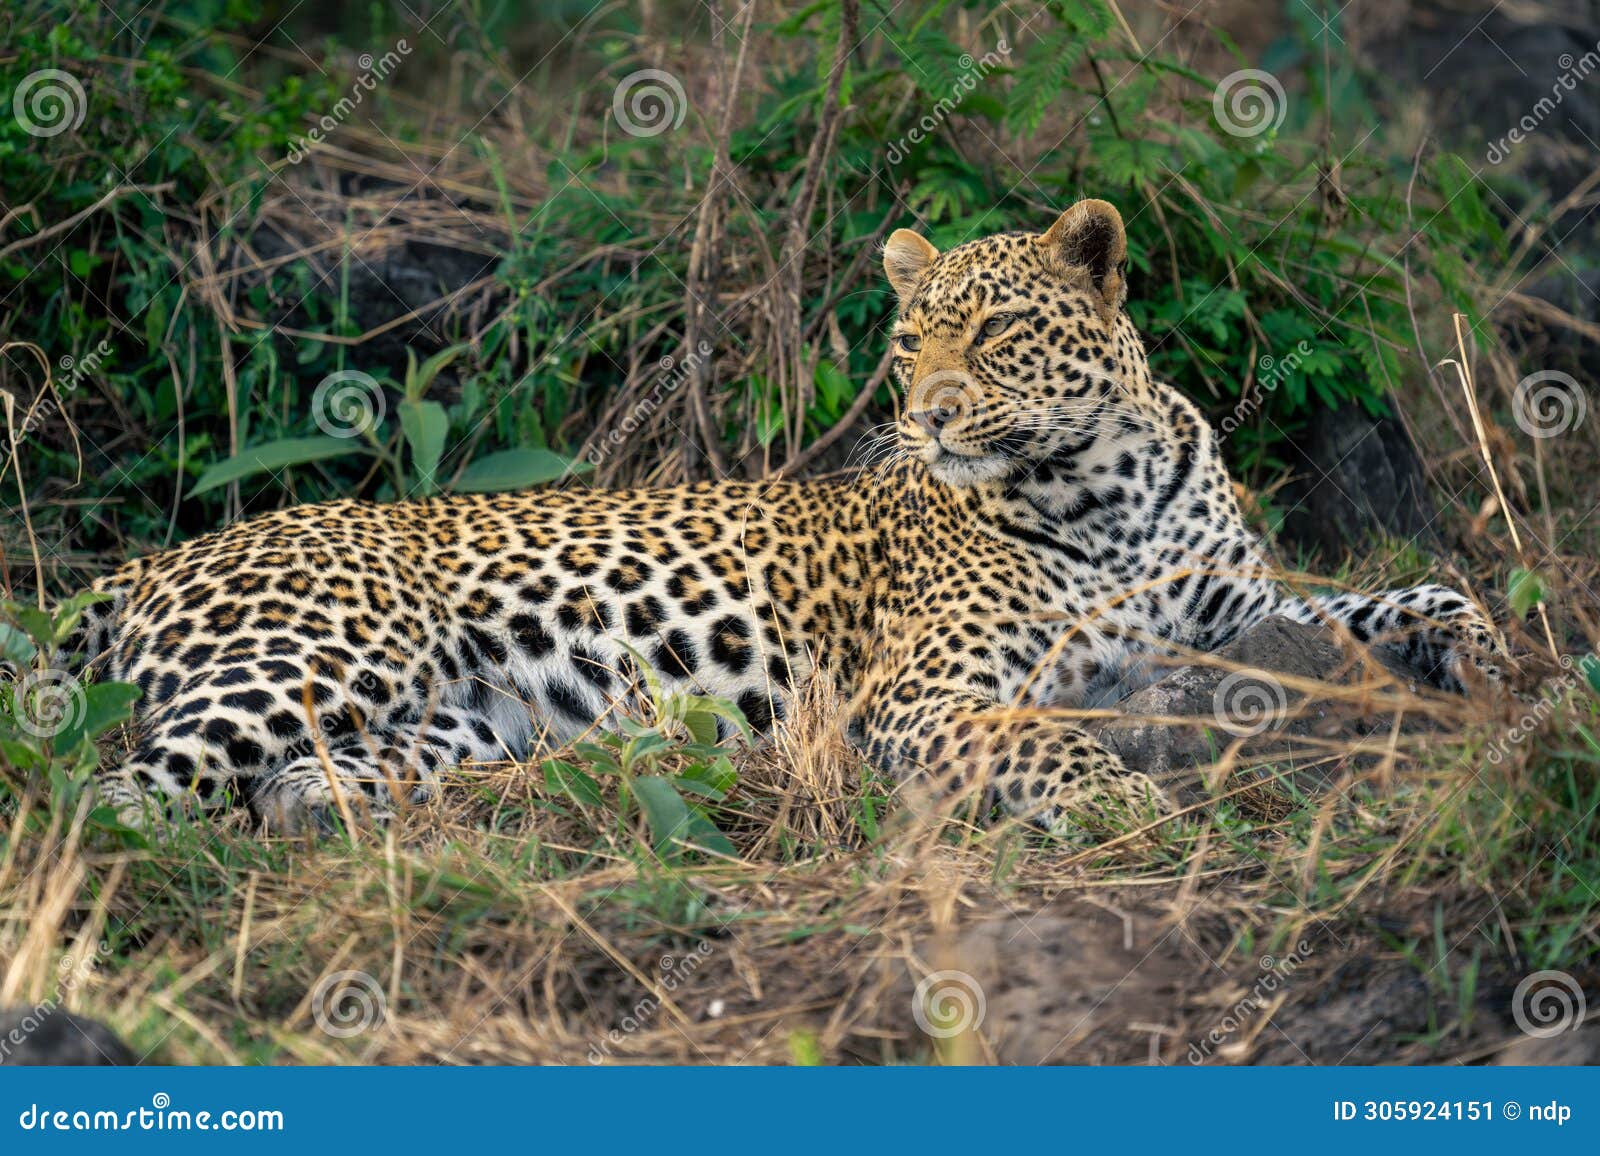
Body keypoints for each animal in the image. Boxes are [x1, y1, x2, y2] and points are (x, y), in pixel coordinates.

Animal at [53, 198, 1500, 835]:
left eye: (996, 335)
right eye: (911, 342)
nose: (925, 418)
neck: (1107, 486)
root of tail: (161, 555)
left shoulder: (1235, 607)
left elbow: (1404, 592)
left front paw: (1484, 660)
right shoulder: (925, 693)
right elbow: (1052, 741)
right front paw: (1128, 808)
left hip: (446, 716)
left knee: (291, 783)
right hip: (317, 654)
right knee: (119, 794)